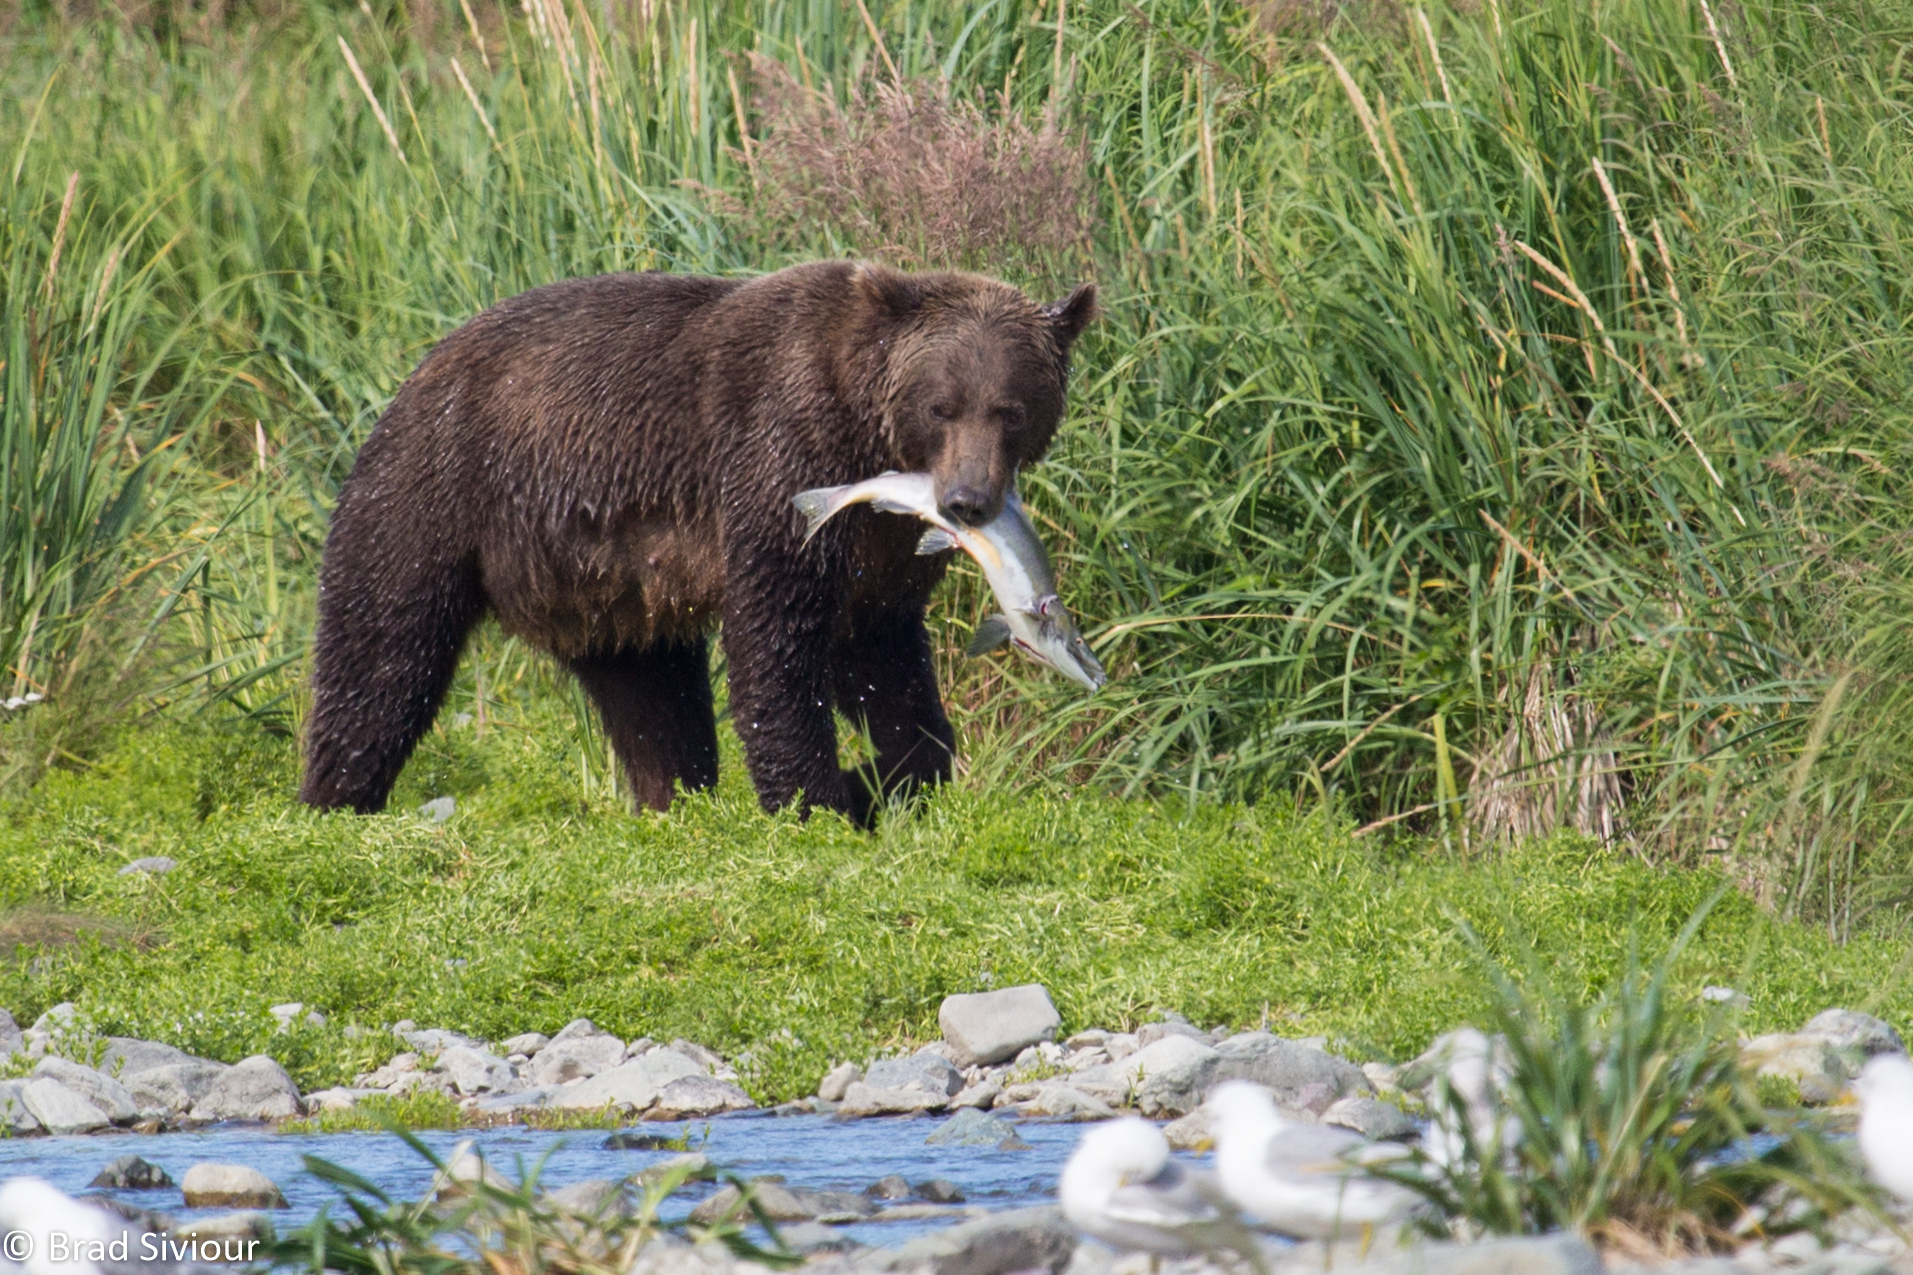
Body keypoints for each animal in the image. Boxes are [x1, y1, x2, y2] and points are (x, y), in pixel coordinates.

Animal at [299, 260, 1097, 824]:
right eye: (942, 405)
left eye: (1011, 408)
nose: (966, 501)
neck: (865, 435)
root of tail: (411, 375)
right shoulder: (777, 459)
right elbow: (778, 645)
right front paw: (817, 799)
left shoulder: (882, 547)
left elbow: (883, 661)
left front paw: (879, 779)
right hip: (432, 491)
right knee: (382, 654)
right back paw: (333, 797)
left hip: (603, 583)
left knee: (653, 697)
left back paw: (673, 799)